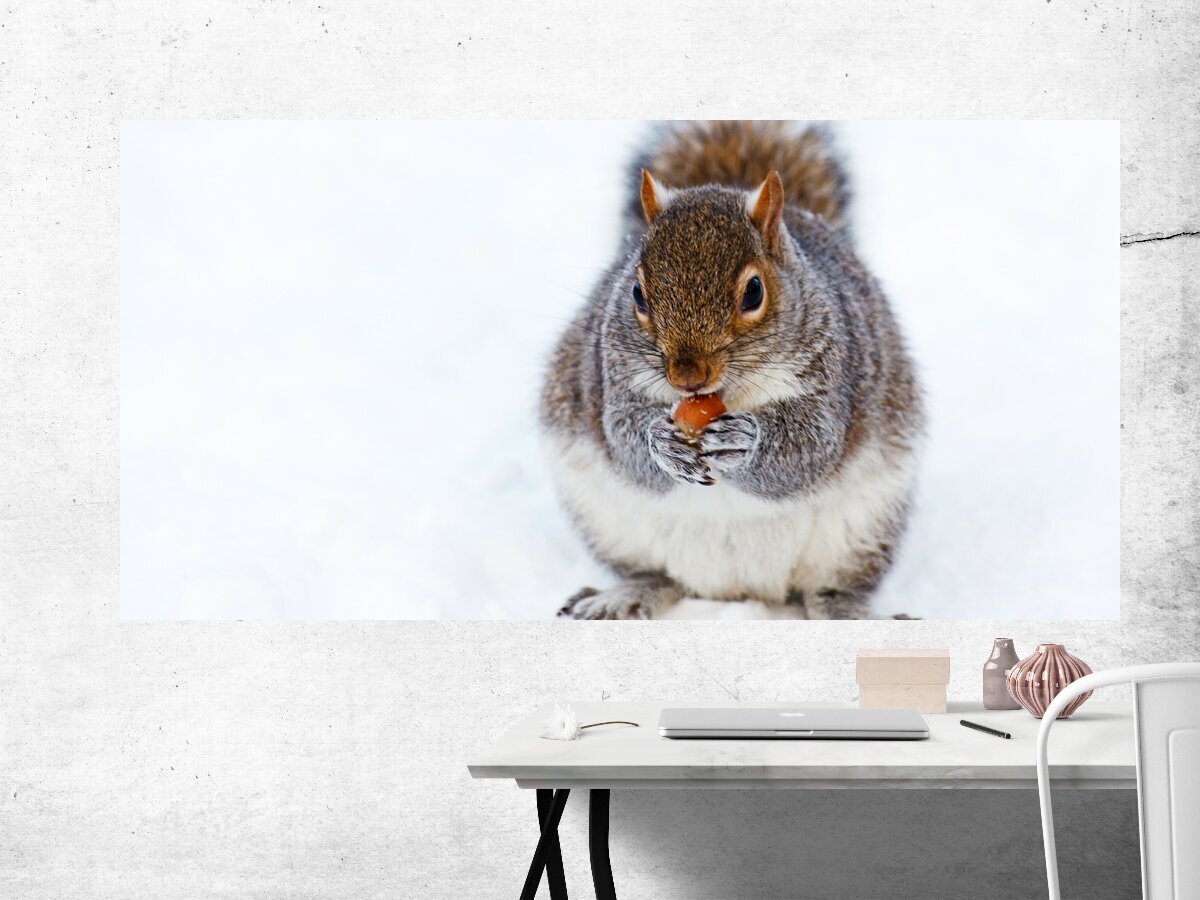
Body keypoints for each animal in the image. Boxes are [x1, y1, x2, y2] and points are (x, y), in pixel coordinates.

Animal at [540, 121, 924, 620]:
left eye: (754, 291)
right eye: (637, 293)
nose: (686, 376)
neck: (724, 393)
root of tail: (737, 589)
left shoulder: (835, 374)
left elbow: (811, 447)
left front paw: (744, 441)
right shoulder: (612, 375)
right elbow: (623, 437)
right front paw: (661, 443)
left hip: (861, 531)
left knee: (829, 592)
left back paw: (853, 614)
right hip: (607, 522)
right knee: (657, 574)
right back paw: (621, 596)